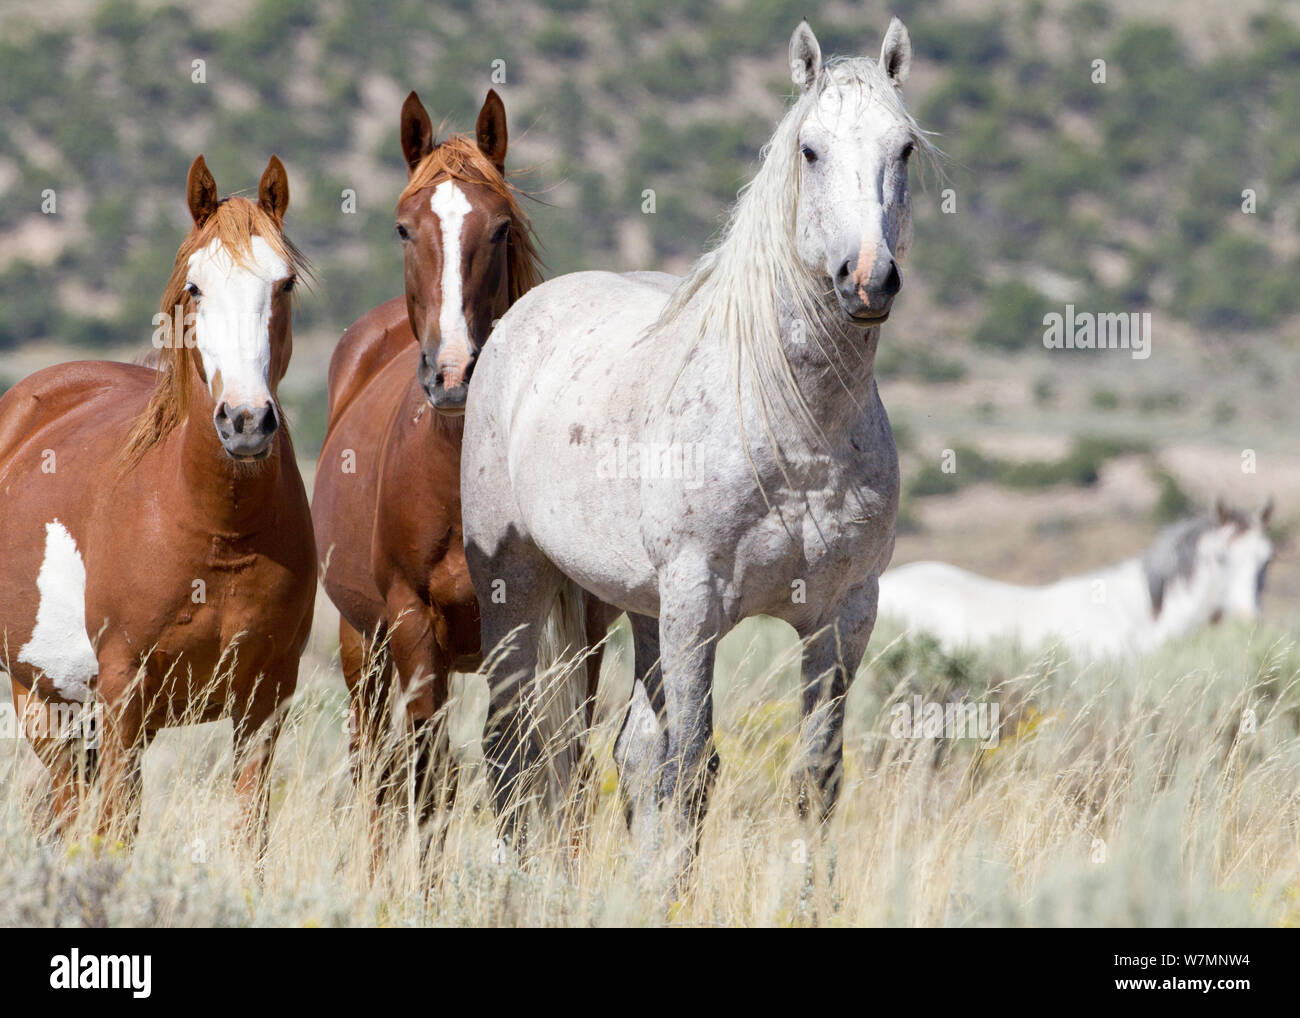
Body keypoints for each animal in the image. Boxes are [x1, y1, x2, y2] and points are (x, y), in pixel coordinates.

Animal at [0, 155, 316, 856]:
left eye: (282, 285)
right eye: (195, 287)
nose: (246, 421)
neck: (216, 529)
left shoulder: (265, 697)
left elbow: (249, 835)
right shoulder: (124, 696)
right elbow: (118, 829)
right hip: (44, 701)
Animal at [314, 89, 606, 841]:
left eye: (500, 228)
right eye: (402, 228)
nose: (452, 374)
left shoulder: (566, 633)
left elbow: (541, 772)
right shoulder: (412, 629)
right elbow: (428, 780)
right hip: (363, 646)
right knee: (379, 768)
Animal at [462, 18, 929, 873]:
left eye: (903, 148)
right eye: (810, 150)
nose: (868, 280)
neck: (795, 428)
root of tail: (523, 315)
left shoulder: (844, 615)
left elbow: (813, 781)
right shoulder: (697, 605)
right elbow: (692, 773)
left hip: (642, 614)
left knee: (631, 754)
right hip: (517, 588)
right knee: (512, 754)